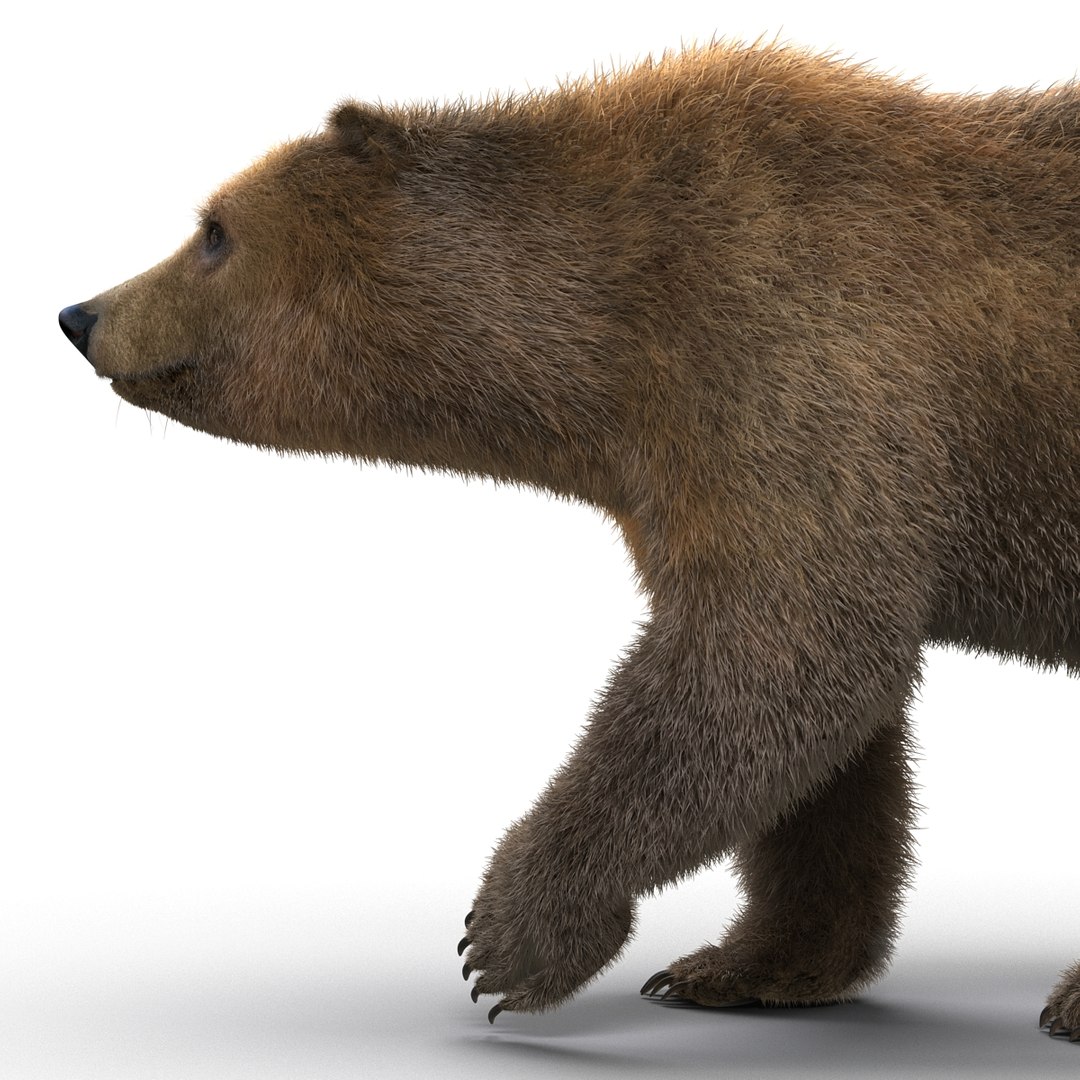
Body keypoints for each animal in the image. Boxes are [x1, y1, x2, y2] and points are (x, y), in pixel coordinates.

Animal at [58, 41, 1078, 1039]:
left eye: (213, 230)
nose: (81, 315)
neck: (610, 328)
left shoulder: (796, 366)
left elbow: (776, 661)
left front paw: (504, 942)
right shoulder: (697, 472)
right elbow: (825, 748)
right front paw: (749, 965)